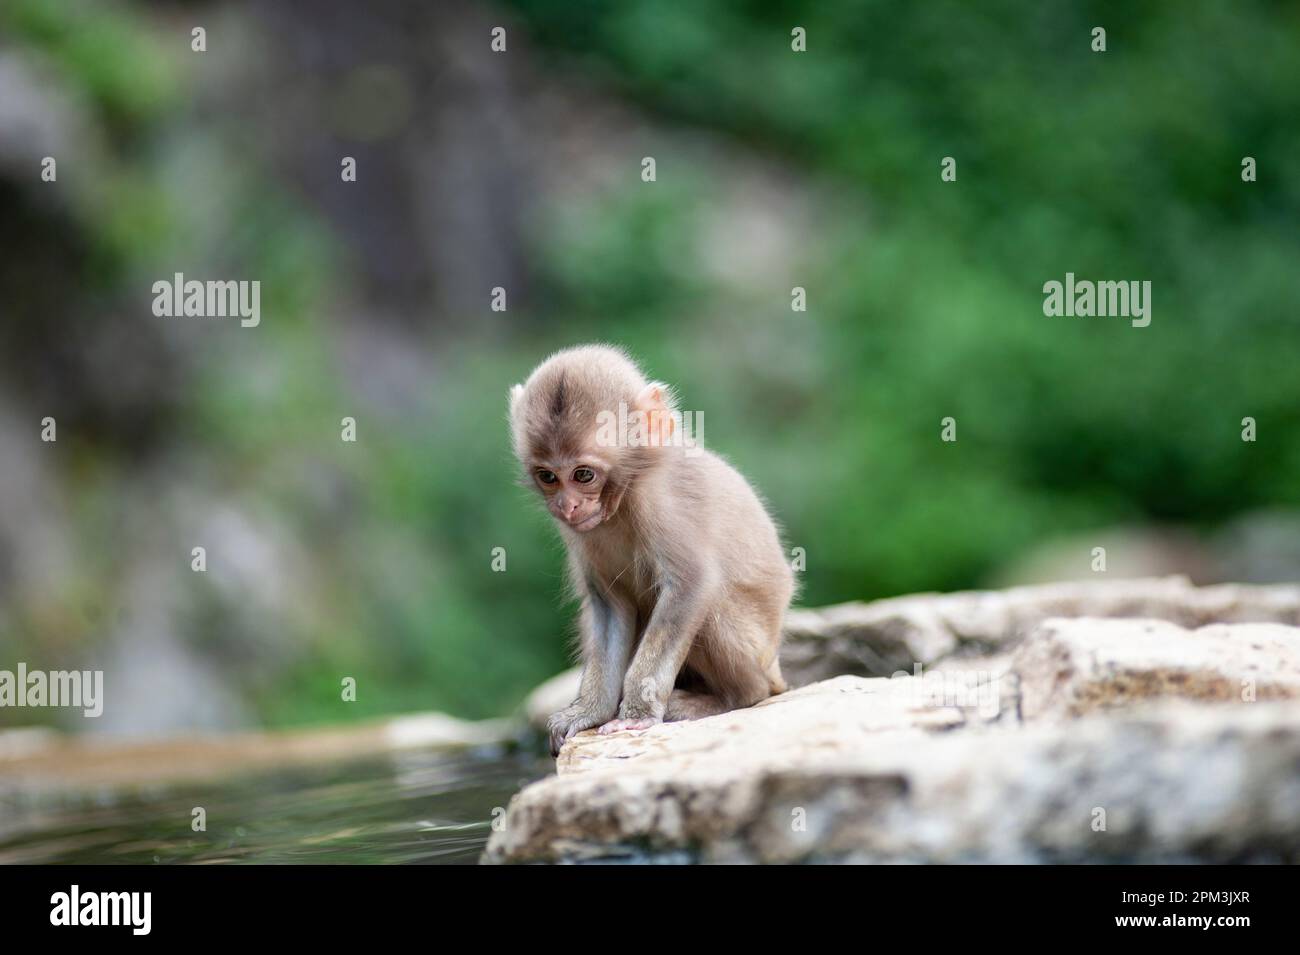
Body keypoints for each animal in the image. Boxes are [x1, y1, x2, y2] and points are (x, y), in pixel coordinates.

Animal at [509, 344, 794, 756]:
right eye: (548, 477)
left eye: (583, 474)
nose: (567, 506)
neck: (627, 490)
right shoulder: (581, 532)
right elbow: (610, 605)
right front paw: (589, 711)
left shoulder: (661, 502)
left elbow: (692, 584)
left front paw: (637, 714)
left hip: (757, 653)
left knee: (714, 609)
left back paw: (734, 697)